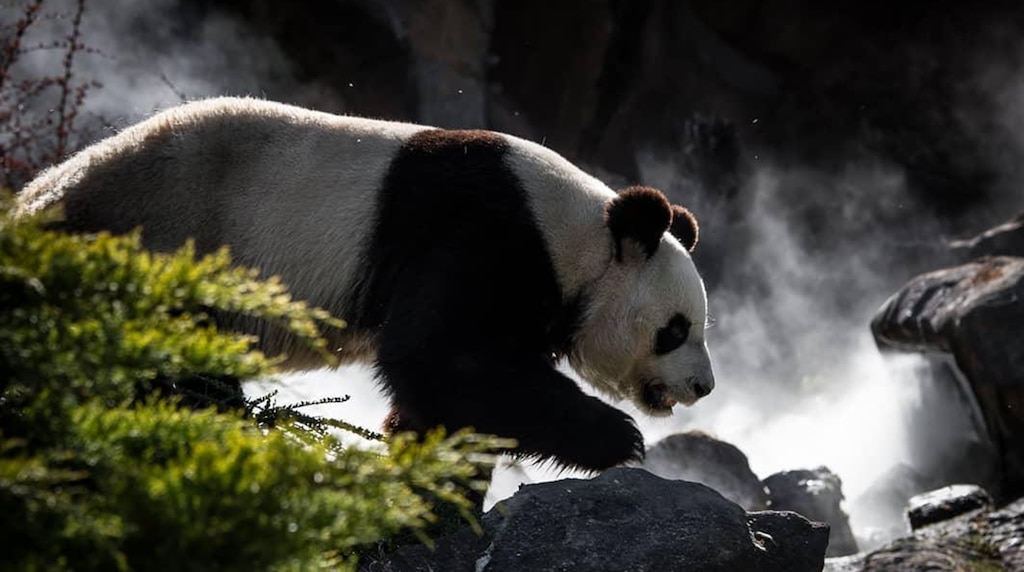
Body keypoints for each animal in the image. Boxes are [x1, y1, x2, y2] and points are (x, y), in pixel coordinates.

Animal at [16, 97, 716, 471]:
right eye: (675, 330)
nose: (703, 387)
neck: (581, 238)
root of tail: (35, 201)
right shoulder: (485, 235)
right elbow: (439, 356)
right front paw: (619, 439)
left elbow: (458, 386)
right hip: (167, 236)